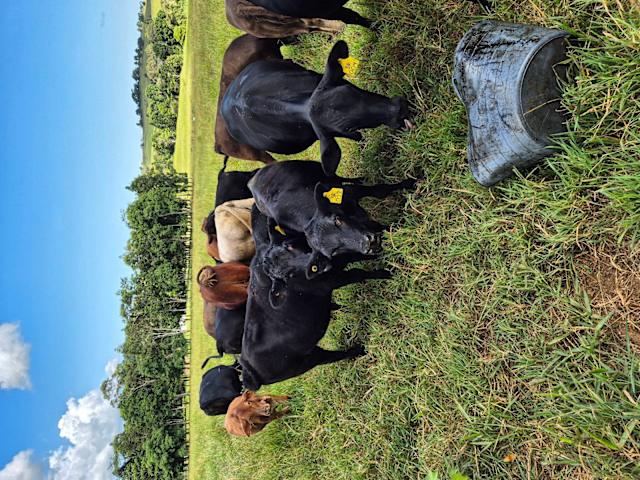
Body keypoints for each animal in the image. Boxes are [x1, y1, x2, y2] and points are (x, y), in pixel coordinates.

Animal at [249, 160, 415, 279]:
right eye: (334, 252)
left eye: (337, 220)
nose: (369, 243)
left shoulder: (351, 192)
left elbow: (380, 191)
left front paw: (410, 183)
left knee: (337, 176)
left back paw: (360, 178)